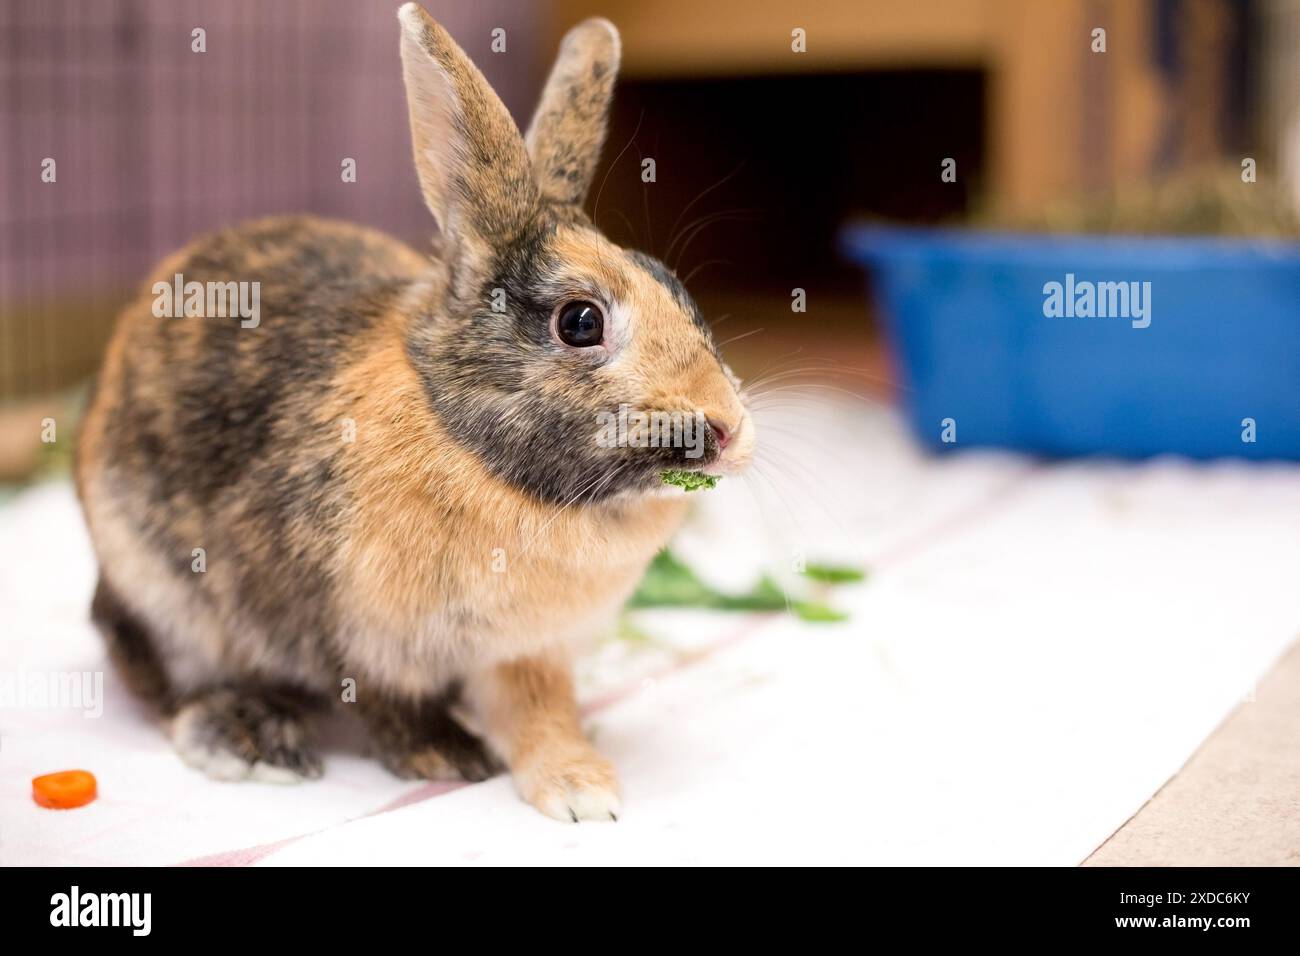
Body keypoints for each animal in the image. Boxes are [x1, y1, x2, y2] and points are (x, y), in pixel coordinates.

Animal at [74, 3, 754, 822]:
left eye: (675, 286)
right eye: (581, 322)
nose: (726, 428)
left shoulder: (523, 652)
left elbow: (540, 709)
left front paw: (581, 787)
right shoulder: (355, 632)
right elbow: (382, 702)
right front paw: (446, 756)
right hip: (158, 586)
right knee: (162, 675)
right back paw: (250, 736)